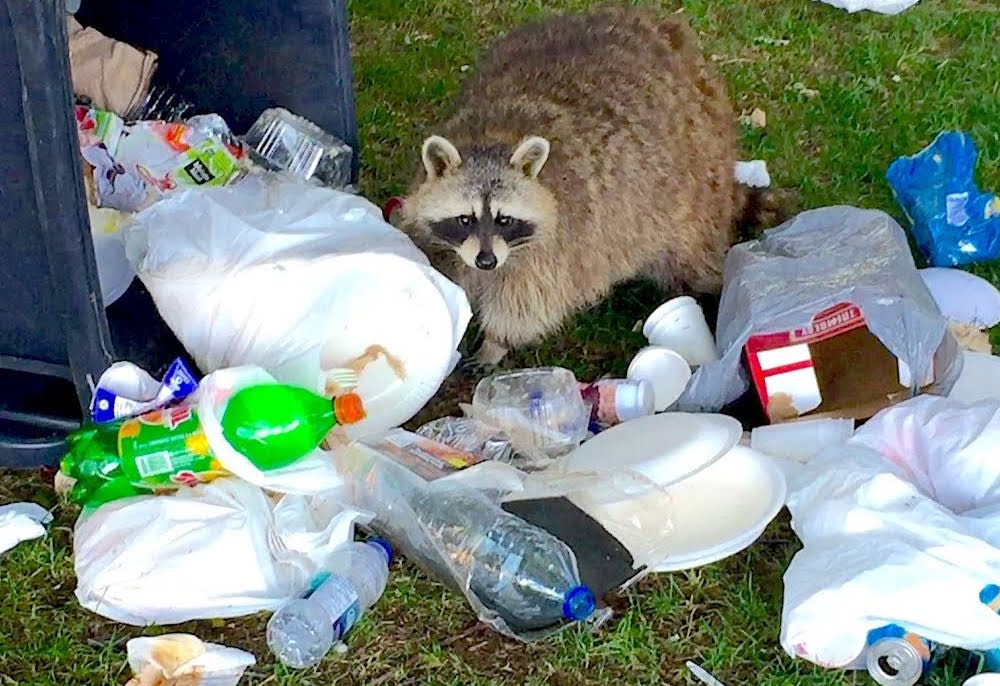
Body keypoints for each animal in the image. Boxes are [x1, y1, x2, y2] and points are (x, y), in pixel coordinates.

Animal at [394, 5, 777, 366]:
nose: (486, 261)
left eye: (505, 219)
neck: (491, 140)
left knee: (693, 258)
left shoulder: (562, 244)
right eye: (465, 219)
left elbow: (528, 301)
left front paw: (496, 342)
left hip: (695, 196)